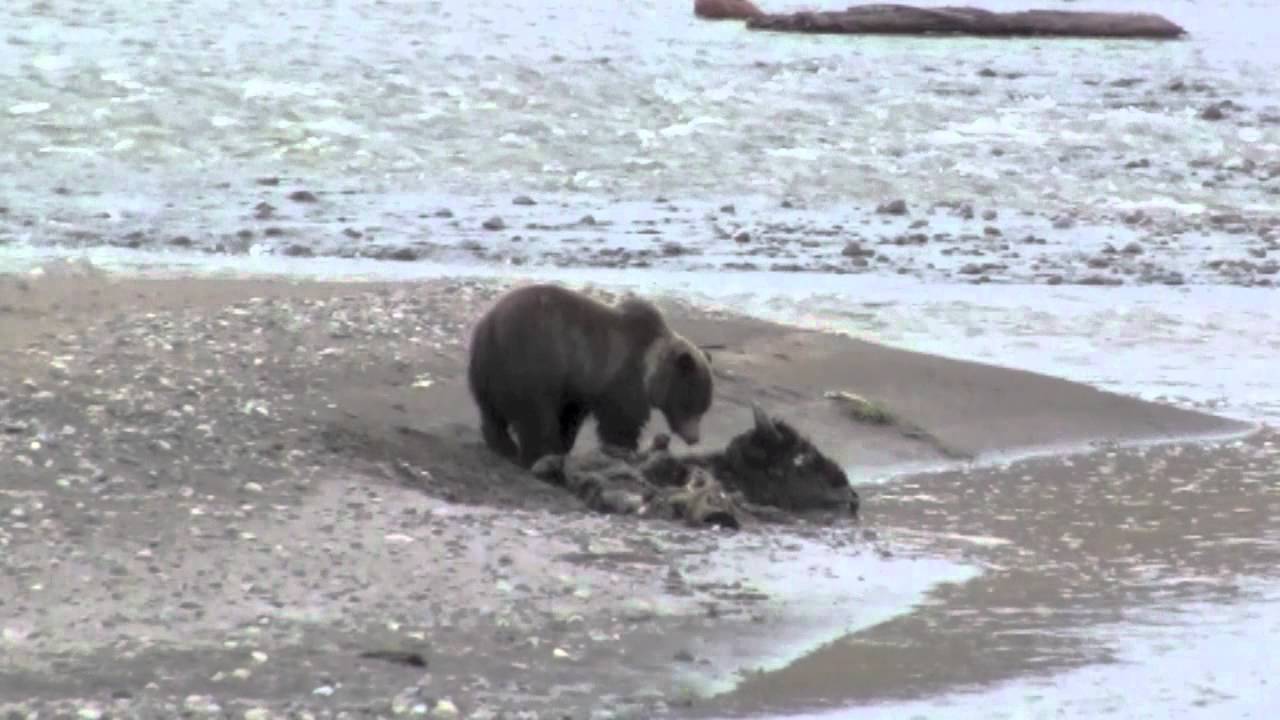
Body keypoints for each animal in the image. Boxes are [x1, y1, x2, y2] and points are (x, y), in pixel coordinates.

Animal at [466, 283, 714, 469]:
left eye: (703, 408)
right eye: (690, 404)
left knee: (491, 413)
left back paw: (504, 446)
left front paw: (566, 443)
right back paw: (537, 453)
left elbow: (570, 417)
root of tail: (488, 326)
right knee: (535, 415)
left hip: (488, 370)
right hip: (531, 358)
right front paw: (623, 448)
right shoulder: (621, 377)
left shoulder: (579, 386)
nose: (694, 438)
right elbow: (622, 420)